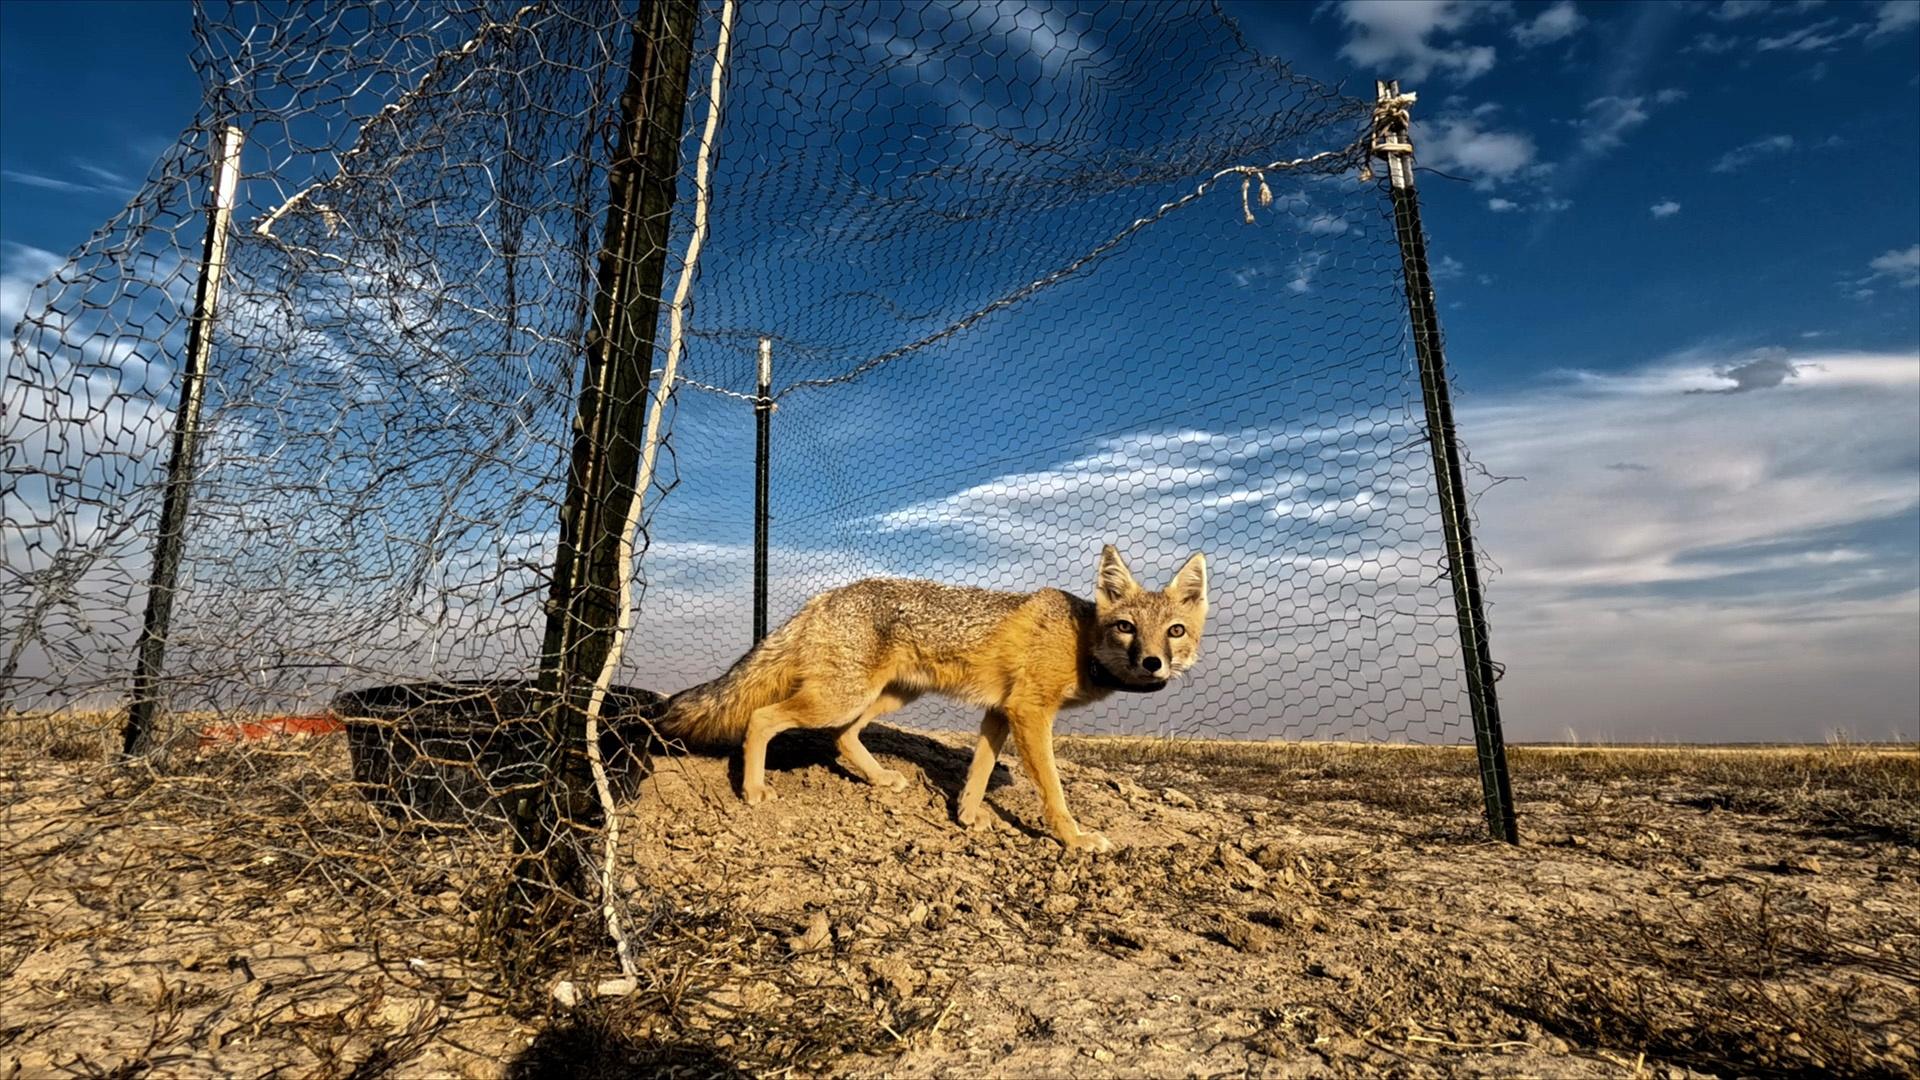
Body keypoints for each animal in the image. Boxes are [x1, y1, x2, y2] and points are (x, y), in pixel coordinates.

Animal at [651, 545, 1209, 852]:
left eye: (1175, 632)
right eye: (1125, 628)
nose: (1153, 663)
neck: (1080, 641)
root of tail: (824, 597)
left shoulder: (999, 712)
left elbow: (979, 772)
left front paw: (965, 816)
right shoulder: (1029, 713)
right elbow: (1053, 790)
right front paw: (1073, 839)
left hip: (887, 698)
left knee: (842, 739)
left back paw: (879, 779)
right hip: (842, 697)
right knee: (764, 718)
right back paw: (753, 789)